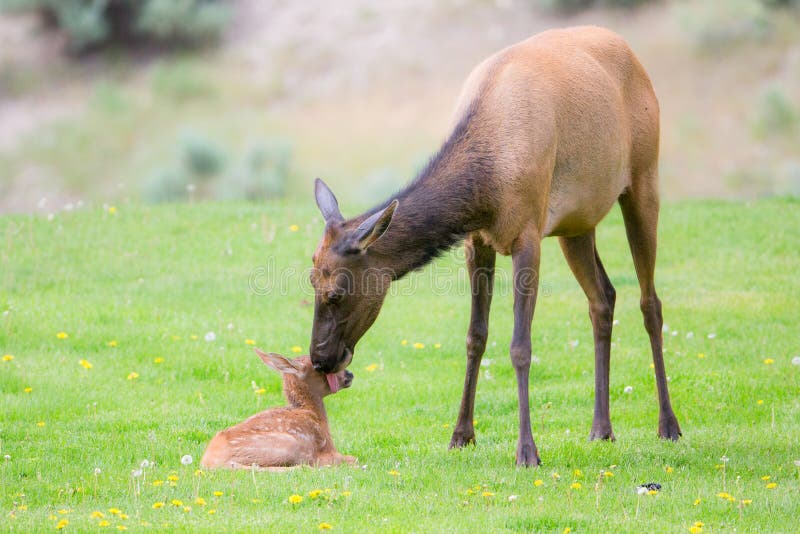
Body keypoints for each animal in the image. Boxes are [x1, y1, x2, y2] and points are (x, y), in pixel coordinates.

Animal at [200, 348, 356, 469]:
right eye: (322, 368)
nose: (350, 374)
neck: (314, 415)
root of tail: (208, 461)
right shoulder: (328, 451)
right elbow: (352, 458)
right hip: (288, 445)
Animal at [307, 26, 681, 467]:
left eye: (336, 292)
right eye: (310, 283)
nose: (319, 359)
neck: (487, 185)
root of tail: (630, 51)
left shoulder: (528, 234)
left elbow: (520, 346)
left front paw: (527, 450)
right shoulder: (477, 241)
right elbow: (475, 336)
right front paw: (460, 434)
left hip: (644, 178)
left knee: (650, 303)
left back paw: (668, 425)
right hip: (577, 222)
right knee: (603, 298)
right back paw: (601, 428)